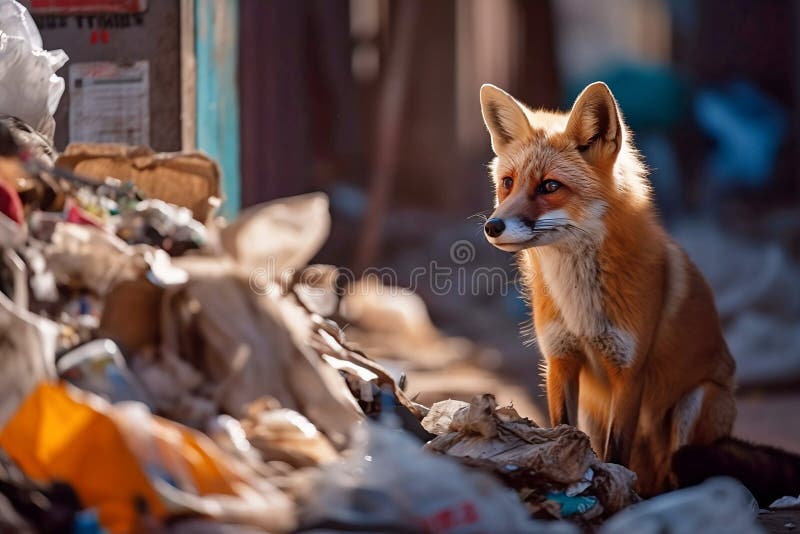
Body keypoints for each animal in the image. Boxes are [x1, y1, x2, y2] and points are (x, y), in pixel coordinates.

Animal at [478, 81, 738, 496]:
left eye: (550, 186)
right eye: (508, 183)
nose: (492, 226)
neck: (580, 308)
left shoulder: (629, 373)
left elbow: (618, 451)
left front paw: (616, 487)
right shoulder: (560, 361)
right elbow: (561, 430)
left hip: (696, 404)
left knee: (677, 474)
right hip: (594, 411)